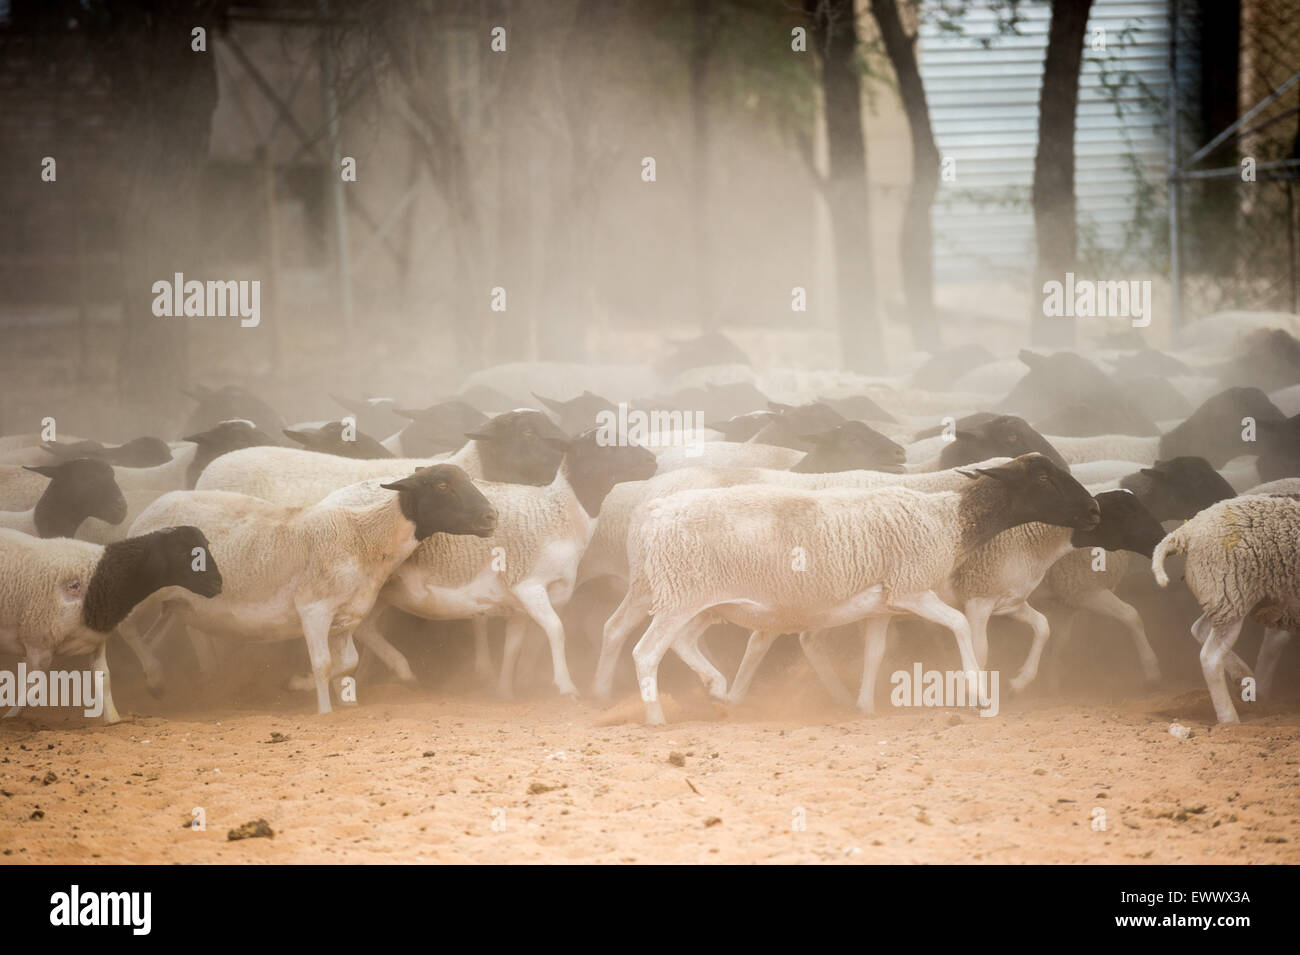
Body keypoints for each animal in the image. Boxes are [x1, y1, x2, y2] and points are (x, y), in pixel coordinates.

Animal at [0, 525, 221, 723]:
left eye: (206, 545)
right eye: (182, 551)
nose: (217, 583)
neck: (100, 576)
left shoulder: (95, 641)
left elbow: (104, 678)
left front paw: (113, 718)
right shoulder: (38, 644)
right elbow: (32, 686)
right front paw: (11, 716)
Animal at [120, 464, 497, 714]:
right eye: (442, 485)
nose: (491, 517)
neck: (363, 537)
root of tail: (156, 504)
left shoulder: (346, 617)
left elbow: (348, 663)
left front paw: (302, 687)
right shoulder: (314, 609)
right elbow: (323, 663)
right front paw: (324, 711)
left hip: (175, 600)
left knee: (150, 633)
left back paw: (156, 683)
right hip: (142, 590)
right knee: (126, 628)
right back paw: (154, 678)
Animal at [611, 453, 1100, 723]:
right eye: (1044, 478)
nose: (1095, 509)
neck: (950, 519)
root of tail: (655, 512)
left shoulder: (883, 604)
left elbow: (875, 652)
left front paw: (864, 704)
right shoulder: (911, 588)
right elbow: (961, 626)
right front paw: (979, 693)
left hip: (701, 602)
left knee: (684, 644)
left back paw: (716, 688)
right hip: (681, 596)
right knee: (646, 652)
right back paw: (657, 716)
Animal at [1152, 494, 1300, 722]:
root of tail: (1188, 530)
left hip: (1223, 595)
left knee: (1200, 628)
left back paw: (1242, 675)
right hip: (1228, 591)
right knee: (1210, 658)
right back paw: (1229, 718)